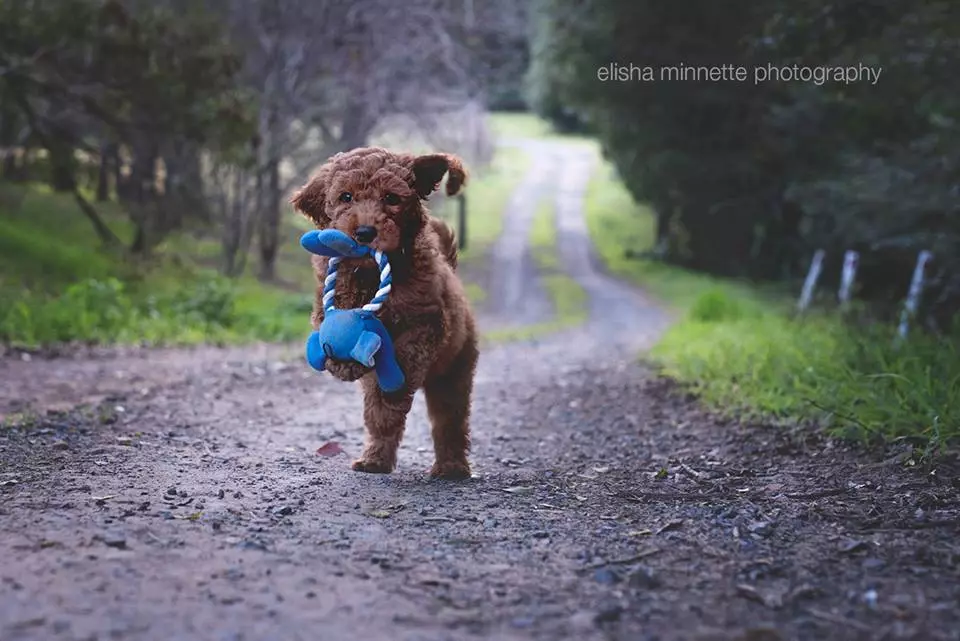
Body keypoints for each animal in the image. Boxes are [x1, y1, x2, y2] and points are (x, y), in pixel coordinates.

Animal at [288, 148, 476, 478]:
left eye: (391, 198)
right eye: (346, 196)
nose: (364, 233)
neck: (370, 271)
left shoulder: (427, 322)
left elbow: (403, 361)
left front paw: (393, 392)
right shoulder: (326, 302)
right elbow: (334, 322)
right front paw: (344, 362)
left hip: (454, 369)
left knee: (449, 420)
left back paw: (451, 466)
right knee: (380, 421)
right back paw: (374, 460)